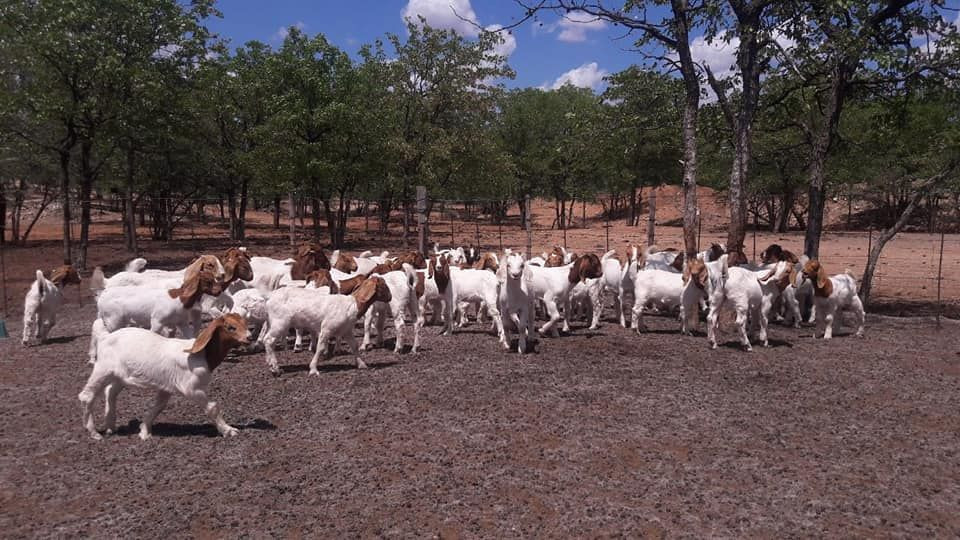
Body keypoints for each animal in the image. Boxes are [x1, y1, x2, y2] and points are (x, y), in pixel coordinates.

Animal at [79, 314, 251, 441]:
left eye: (245, 323)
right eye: (231, 327)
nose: (249, 337)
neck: (202, 355)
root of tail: (104, 337)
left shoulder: (167, 387)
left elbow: (159, 406)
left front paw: (144, 431)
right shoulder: (192, 388)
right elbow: (212, 407)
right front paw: (229, 430)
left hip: (120, 375)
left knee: (110, 392)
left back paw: (110, 426)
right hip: (103, 369)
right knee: (87, 396)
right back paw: (94, 433)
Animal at [263, 277, 392, 376]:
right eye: (384, 286)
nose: (390, 297)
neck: (353, 304)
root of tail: (270, 296)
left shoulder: (347, 330)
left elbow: (354, 346)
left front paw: (362, 364)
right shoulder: (326, 329)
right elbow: (320, 348)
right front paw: (313, 369)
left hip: (271, 322)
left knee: (266, 340)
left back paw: (270, 364)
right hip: (280, 321)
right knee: (269, 340)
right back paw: (275, 369)